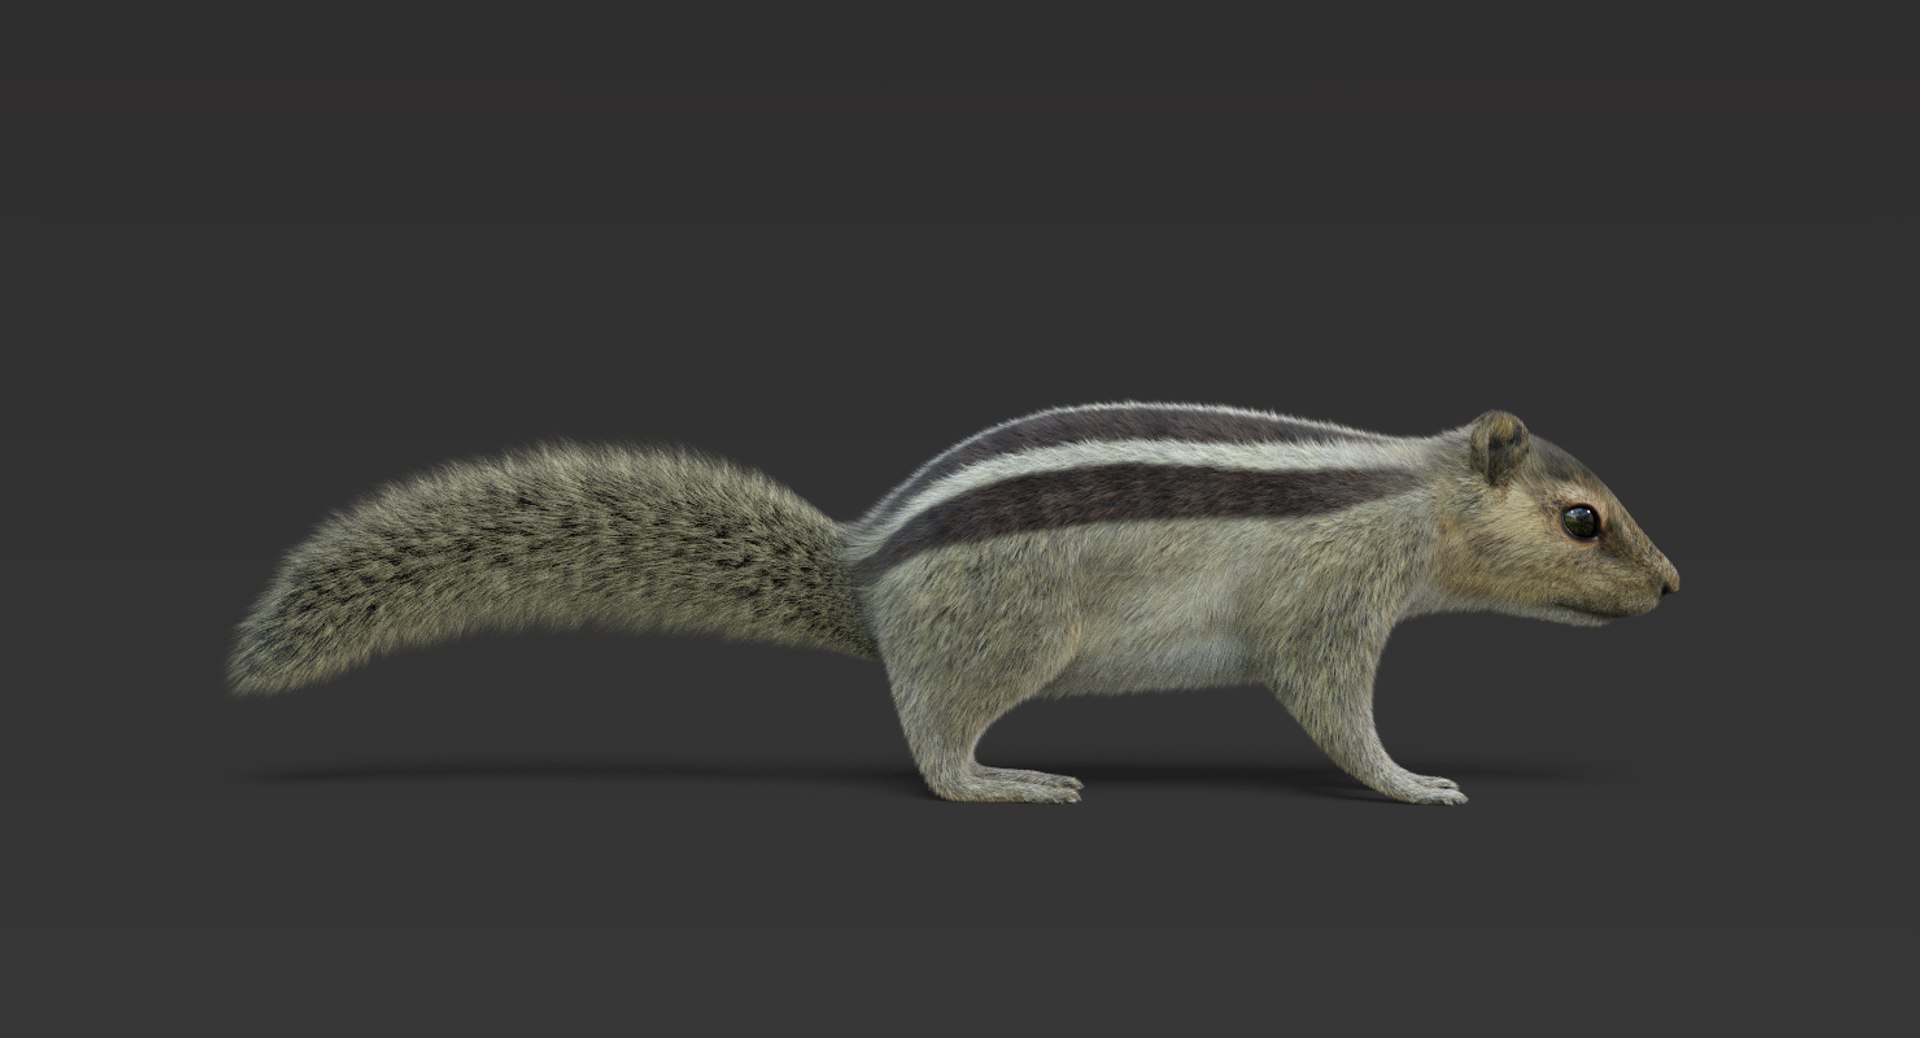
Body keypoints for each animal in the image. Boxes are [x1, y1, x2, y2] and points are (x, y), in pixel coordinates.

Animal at [230, 402, 1679, 806]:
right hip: (1010, 634)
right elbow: (1336, 712)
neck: (1408, 489)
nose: (1674, 582)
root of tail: (866, 568)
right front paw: (1414, 782)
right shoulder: (1332, 605)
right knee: (932, 746)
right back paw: (1007, 780)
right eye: (1583, 518)